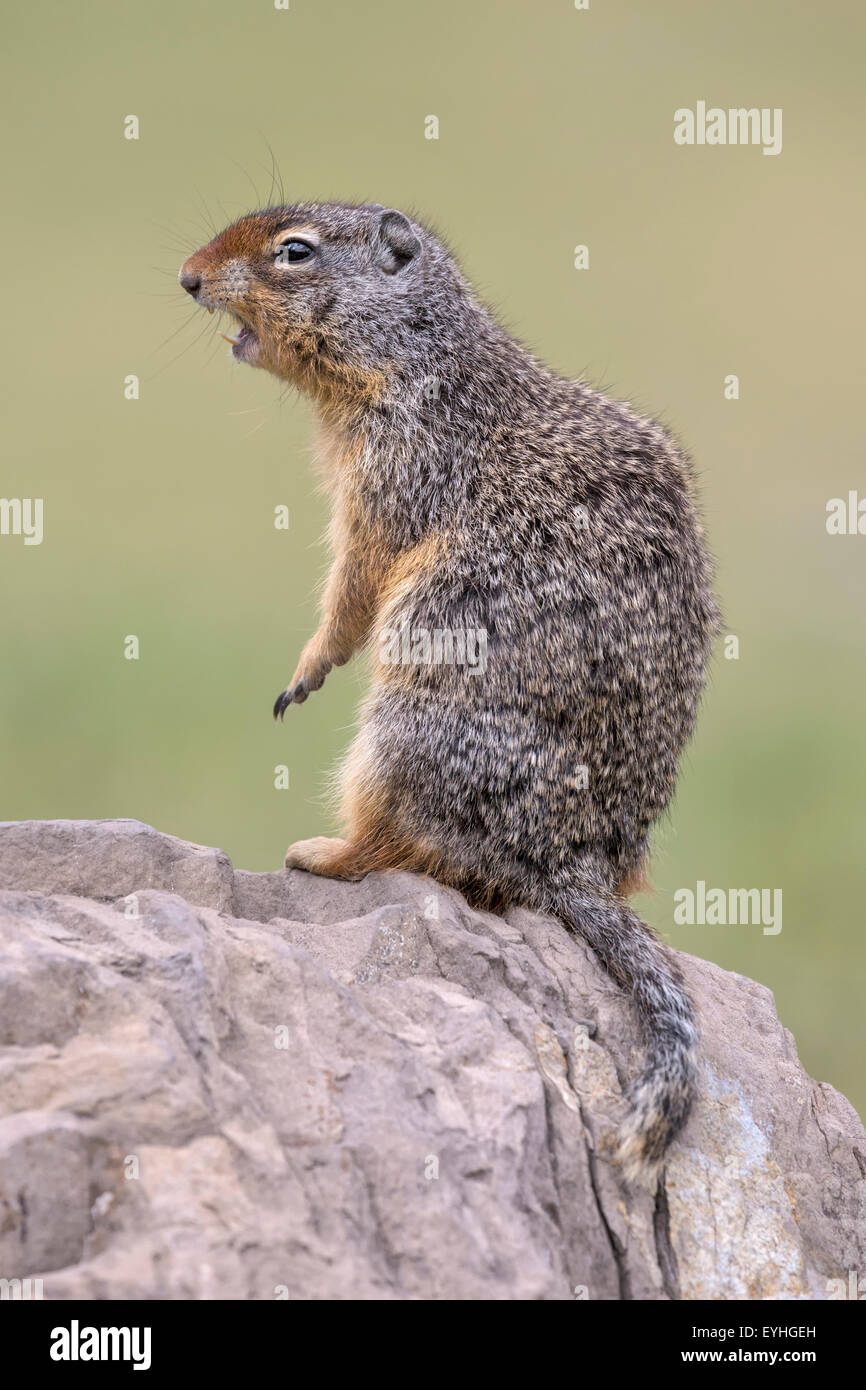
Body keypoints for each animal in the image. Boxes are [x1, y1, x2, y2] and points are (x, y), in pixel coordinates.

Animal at [179, 201, 720, 1180]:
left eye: (294, 251)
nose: (187, 277)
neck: (429, 362)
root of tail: (573, 863)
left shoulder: (393, 477)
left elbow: (355, 580)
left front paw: (306, 670)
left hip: (403, 730)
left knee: (396, 842)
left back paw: (320, 852)